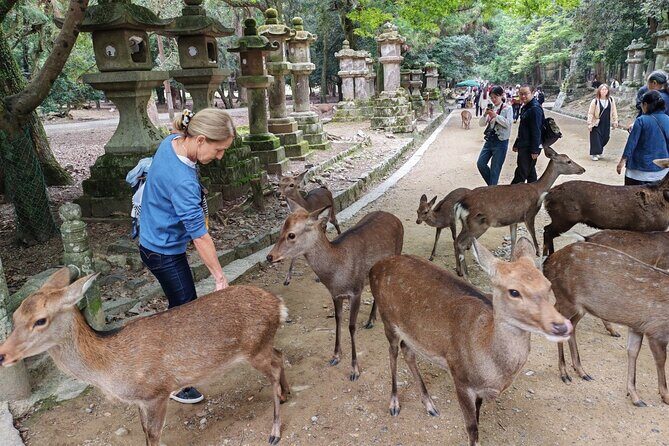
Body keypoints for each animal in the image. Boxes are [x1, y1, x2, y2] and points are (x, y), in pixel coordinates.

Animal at [0, 268, 290, 446]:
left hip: (255, 347)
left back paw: (274, 432)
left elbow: (153, 435)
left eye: (40, 320)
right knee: (279, 354)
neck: (109, 367)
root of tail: (279, 305)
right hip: (262, 345)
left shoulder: (155, 392)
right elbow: (144, 433)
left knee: (275, 366)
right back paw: (285, 394)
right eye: (14, 316)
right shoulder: (140, 401)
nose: (3, 355)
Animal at [266, 205, 403, 381]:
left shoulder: (356, 291)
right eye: (280, 229)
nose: (270, 256)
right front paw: (335, 356)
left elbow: (351, 327)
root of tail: (395, 218)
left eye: (291, 234)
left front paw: (354, 370)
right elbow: (338, 320)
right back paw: (371, 319)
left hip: (397, 253)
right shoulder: (335, 295)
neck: (336, 276)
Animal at [369, 237, 572, 446]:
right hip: (387, 319)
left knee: (407, 350)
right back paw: (394, 403)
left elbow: (478, 419)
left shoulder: (479, 390)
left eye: (548, 285)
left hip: (412, 334)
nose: (562, 326)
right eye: (514, 291)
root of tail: (375, 267)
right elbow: (472, 428)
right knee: (392, 353)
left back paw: (429, 404)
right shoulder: (460, 378)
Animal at [454, 146, 585, 277]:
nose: (582, 169)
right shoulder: (530, 214)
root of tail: (460, 204)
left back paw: (459, 270)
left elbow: (514, 239)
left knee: (456, 241)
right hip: (478, 224)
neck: (538, 190)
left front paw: (511, 260)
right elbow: (533, 237)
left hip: (466, 224)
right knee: (461, 244)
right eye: (568, 161)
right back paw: (465, 273)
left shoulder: (514, 220)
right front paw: (536, 255)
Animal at [543, 242, 669, 407]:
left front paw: (634, 396)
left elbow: (632, 352)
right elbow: (661, 360)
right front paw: (665, 396)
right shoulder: (657, 330)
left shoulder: (637, 325)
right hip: (566, 299)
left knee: (572, 325)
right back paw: (564, 373)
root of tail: (547, 264)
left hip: (580, 307)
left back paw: (581, 371)